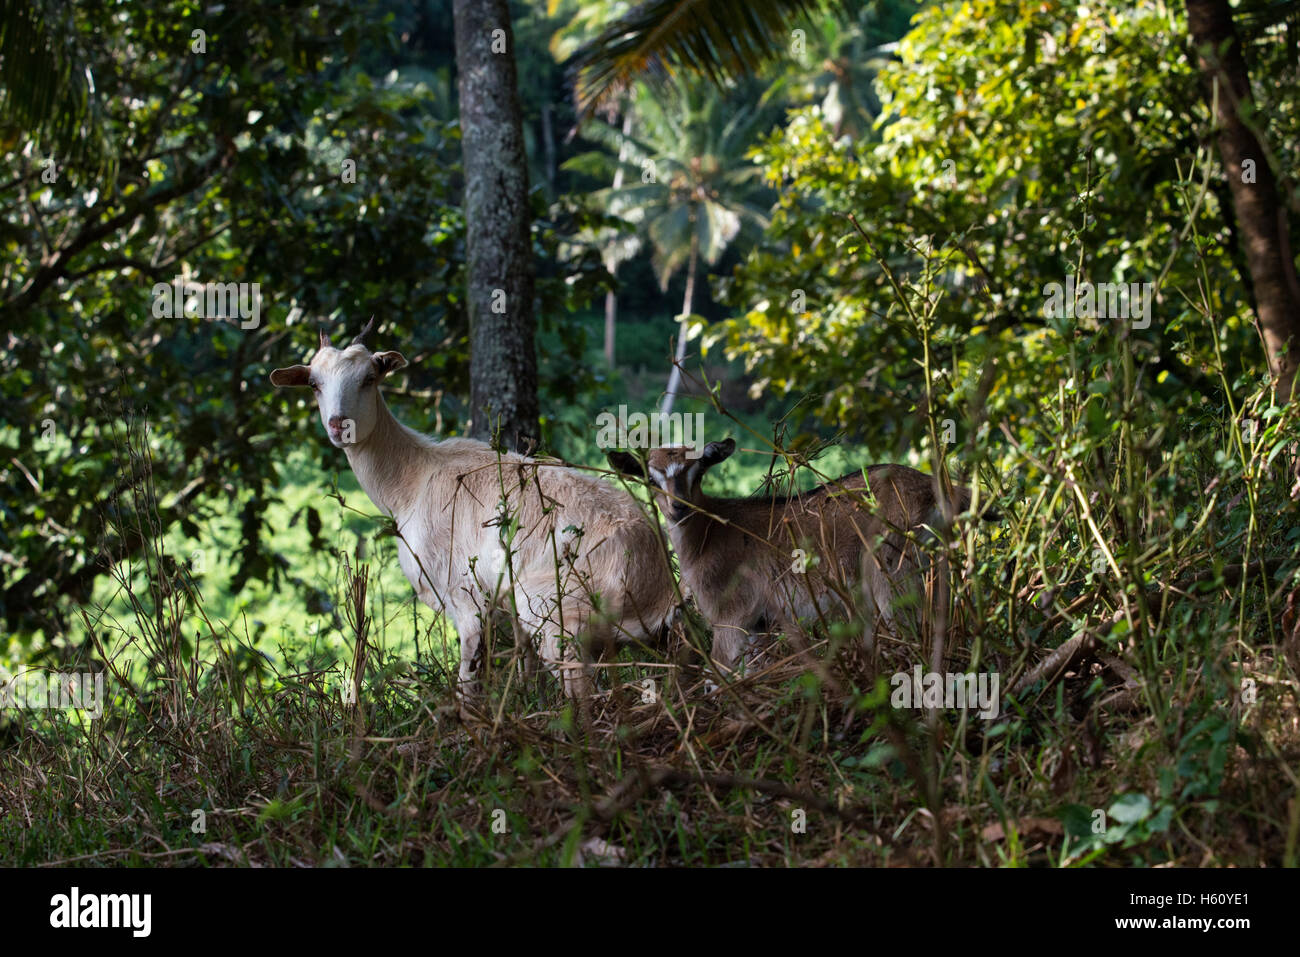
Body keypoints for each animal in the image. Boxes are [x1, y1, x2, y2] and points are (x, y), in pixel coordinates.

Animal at [271, 321, 677, 699]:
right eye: (314, 384)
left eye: (369, 378)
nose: (339, 425)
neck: (412, 480)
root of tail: (659, 590)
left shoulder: (464, 592)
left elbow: (469, 672)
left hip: (559, 615)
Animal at [609, 439, 978, 670]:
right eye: (650, 478)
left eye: (698, 471)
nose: (678, 507)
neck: (709, 532)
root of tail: (933, 488)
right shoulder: (758, 623)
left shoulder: (730, 614)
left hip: (891, 572)